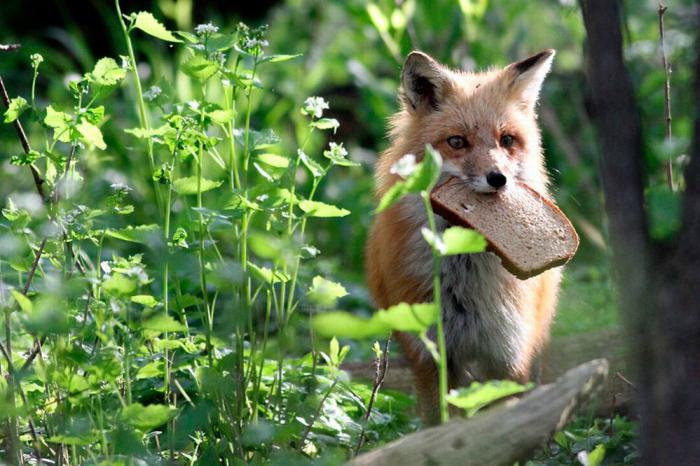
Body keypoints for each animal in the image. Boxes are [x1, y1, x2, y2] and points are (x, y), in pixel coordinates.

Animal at [366, 49, 564, 424]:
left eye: (507, 140)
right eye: (457, 141)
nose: (498, 178)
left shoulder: (508, 357)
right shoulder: (432, 357)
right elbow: (441, 424)